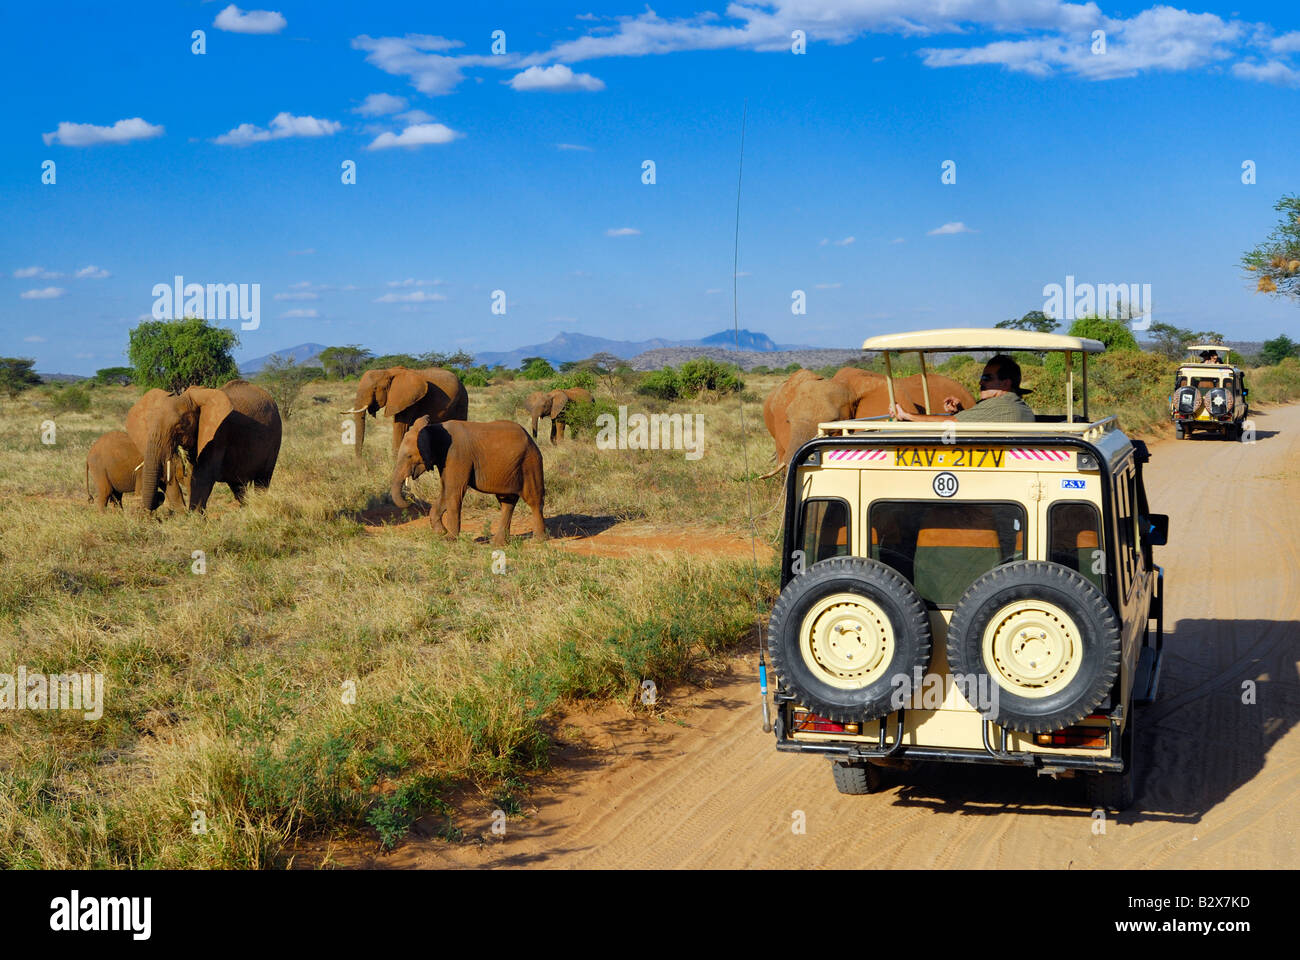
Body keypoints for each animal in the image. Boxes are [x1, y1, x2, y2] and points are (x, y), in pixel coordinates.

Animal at [132, 379, 282, 512]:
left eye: (179, 426)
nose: (159, 498)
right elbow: (191, 476)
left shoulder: (218, 434)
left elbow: (203, 476)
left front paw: (195, 519)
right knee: (238, 486)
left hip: (274, 440)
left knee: (262, 480)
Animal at [391, 415, 547, 546]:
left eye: (409, 456)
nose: (410, 499)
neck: (434, 428)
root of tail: (531, 439)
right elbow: (446, 490)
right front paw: (441, 532)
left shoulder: (457, 455)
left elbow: (454, 491)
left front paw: (449, 539)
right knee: (507, 501)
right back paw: (498, 543)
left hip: (529, 462)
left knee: (533, 499)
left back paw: (538, 540)